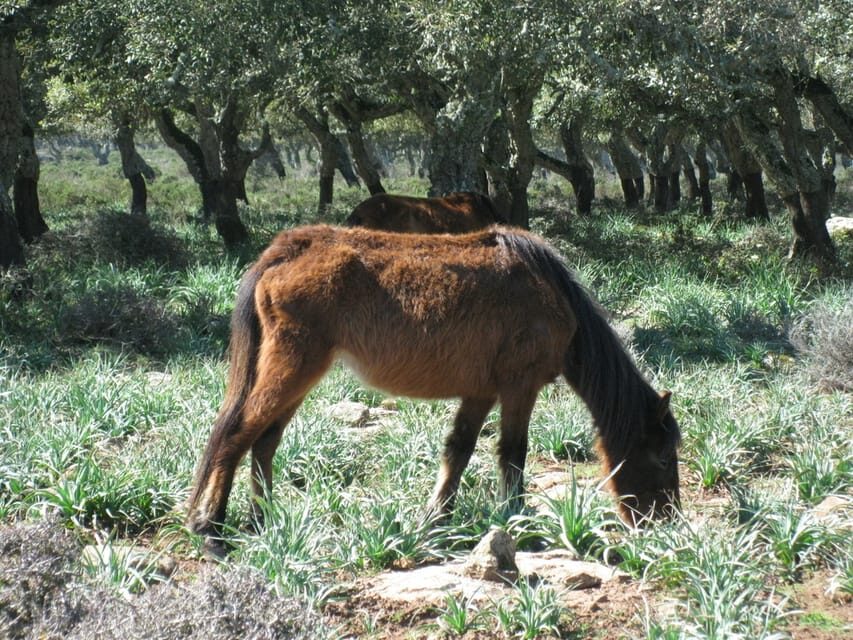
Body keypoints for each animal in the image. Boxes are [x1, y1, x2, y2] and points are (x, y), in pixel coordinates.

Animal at [186, 225, 681, 554]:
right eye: (661, 455)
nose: (665, 523)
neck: (553, 295)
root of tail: (287, 249)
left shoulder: (482, 392)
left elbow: (458, 451)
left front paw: (437, 520)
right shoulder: (519, 387)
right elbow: (513, 453)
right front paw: (517, 519)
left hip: (298, 374)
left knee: (264, 441)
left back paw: (263, 521)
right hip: (293, 367)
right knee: (235, 437)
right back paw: (212, 532)